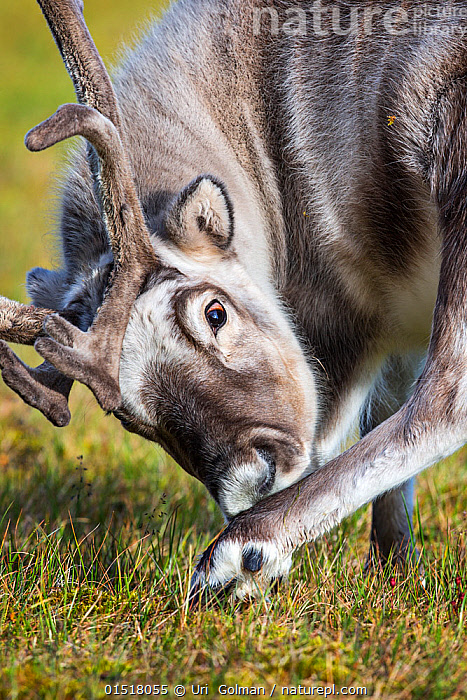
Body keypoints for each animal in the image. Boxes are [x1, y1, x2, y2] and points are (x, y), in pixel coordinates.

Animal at [1, 0, 466, 603]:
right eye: (129, 417)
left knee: (446, 393)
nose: (251, 482)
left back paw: (237, 554)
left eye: (214, 312)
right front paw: (396, 572)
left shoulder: (352, 318)